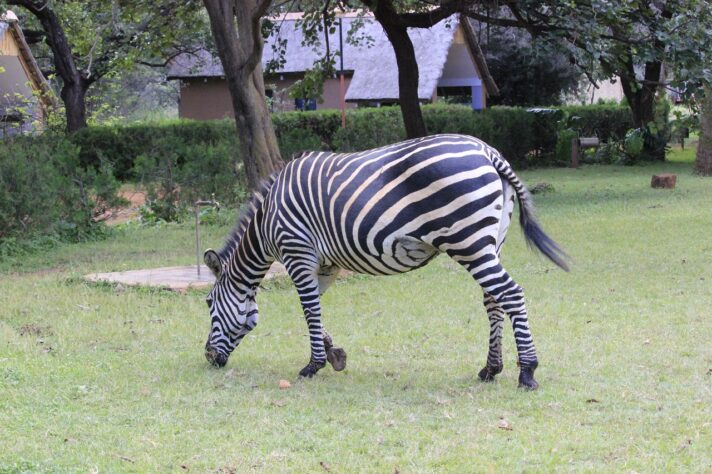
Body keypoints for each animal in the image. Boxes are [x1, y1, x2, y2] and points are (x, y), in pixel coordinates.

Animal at [202, 132, 568, 388]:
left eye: (208, 303)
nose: (208, 357)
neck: (266, 223)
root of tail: (489, 153)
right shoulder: (325, 265)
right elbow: (313, 308)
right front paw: (334, 355)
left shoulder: (297, 252)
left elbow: (308, 309)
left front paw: (313, 365)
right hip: (491, 241)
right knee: (494, 301)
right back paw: (491, 369)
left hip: (469, 241)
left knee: (511, 294)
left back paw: (527, 372)